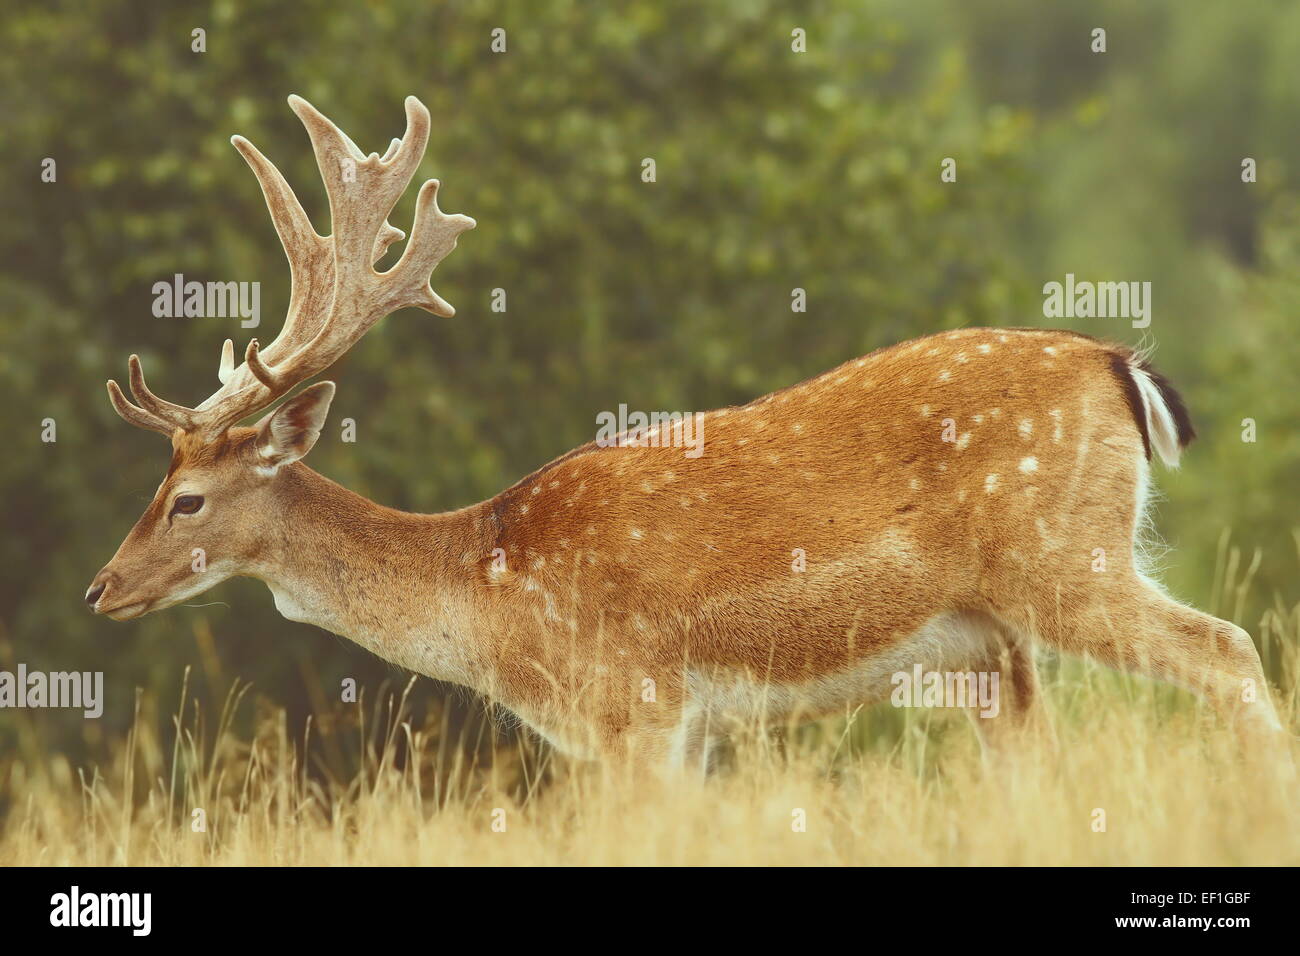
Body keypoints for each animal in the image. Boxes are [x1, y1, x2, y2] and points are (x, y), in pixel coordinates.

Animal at [88, 95, 1288, 773]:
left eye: (187, 497)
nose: (102, 587)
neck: (487, 595)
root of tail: (1119, 365)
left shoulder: (634, 705)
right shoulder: (691, 729)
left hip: (1061, 559)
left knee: (1227, 649)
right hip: (996, 646)